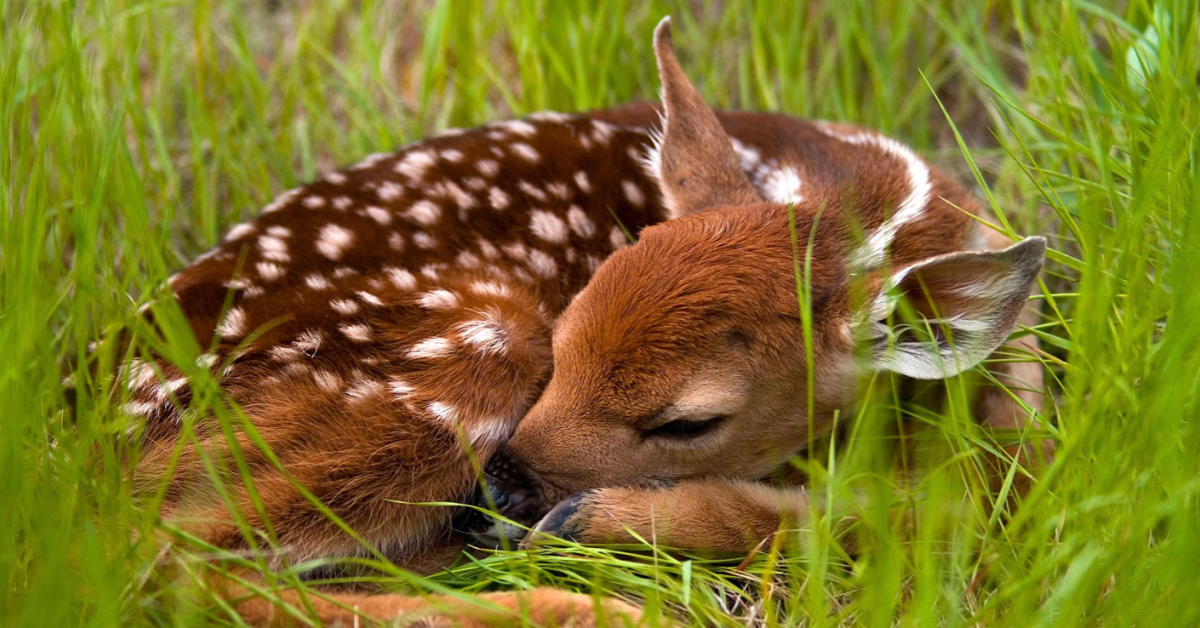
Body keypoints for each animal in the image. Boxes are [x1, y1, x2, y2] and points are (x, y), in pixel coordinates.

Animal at [121, 17, 1051, 627]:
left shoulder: (1028, 424)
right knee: (167, 563)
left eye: (688, 422)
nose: (500, 487)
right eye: (564, 339)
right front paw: (598, 530)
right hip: (458, 354)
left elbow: (936, 511)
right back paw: (592, 607)